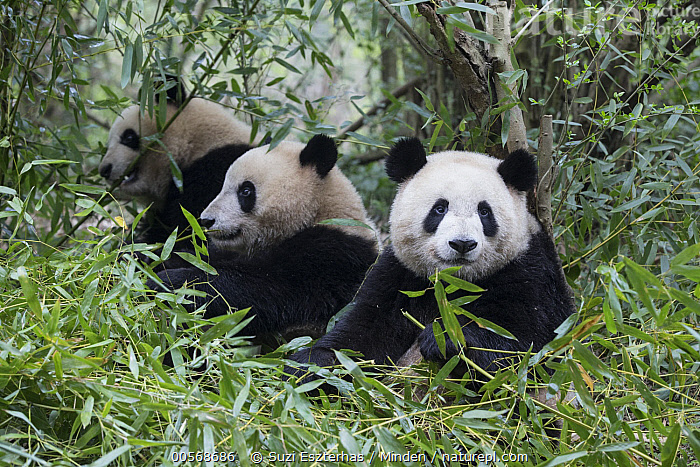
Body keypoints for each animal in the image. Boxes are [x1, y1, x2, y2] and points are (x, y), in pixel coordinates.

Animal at [149, 134, 379, 340]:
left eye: (246, 190)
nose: (206, 220)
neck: (321, 211)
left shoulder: (333, 256)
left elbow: (263, 291)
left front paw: (169, 282)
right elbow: (200, 258)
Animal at [288, 137, 575, 379]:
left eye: (484, 212)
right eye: (439, 208)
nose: (462, 244)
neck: (453, 283)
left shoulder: (529, 271)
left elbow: (526, 345)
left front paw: (444, 337)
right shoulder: (399, 275)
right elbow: (363, 334)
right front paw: (310, 365)